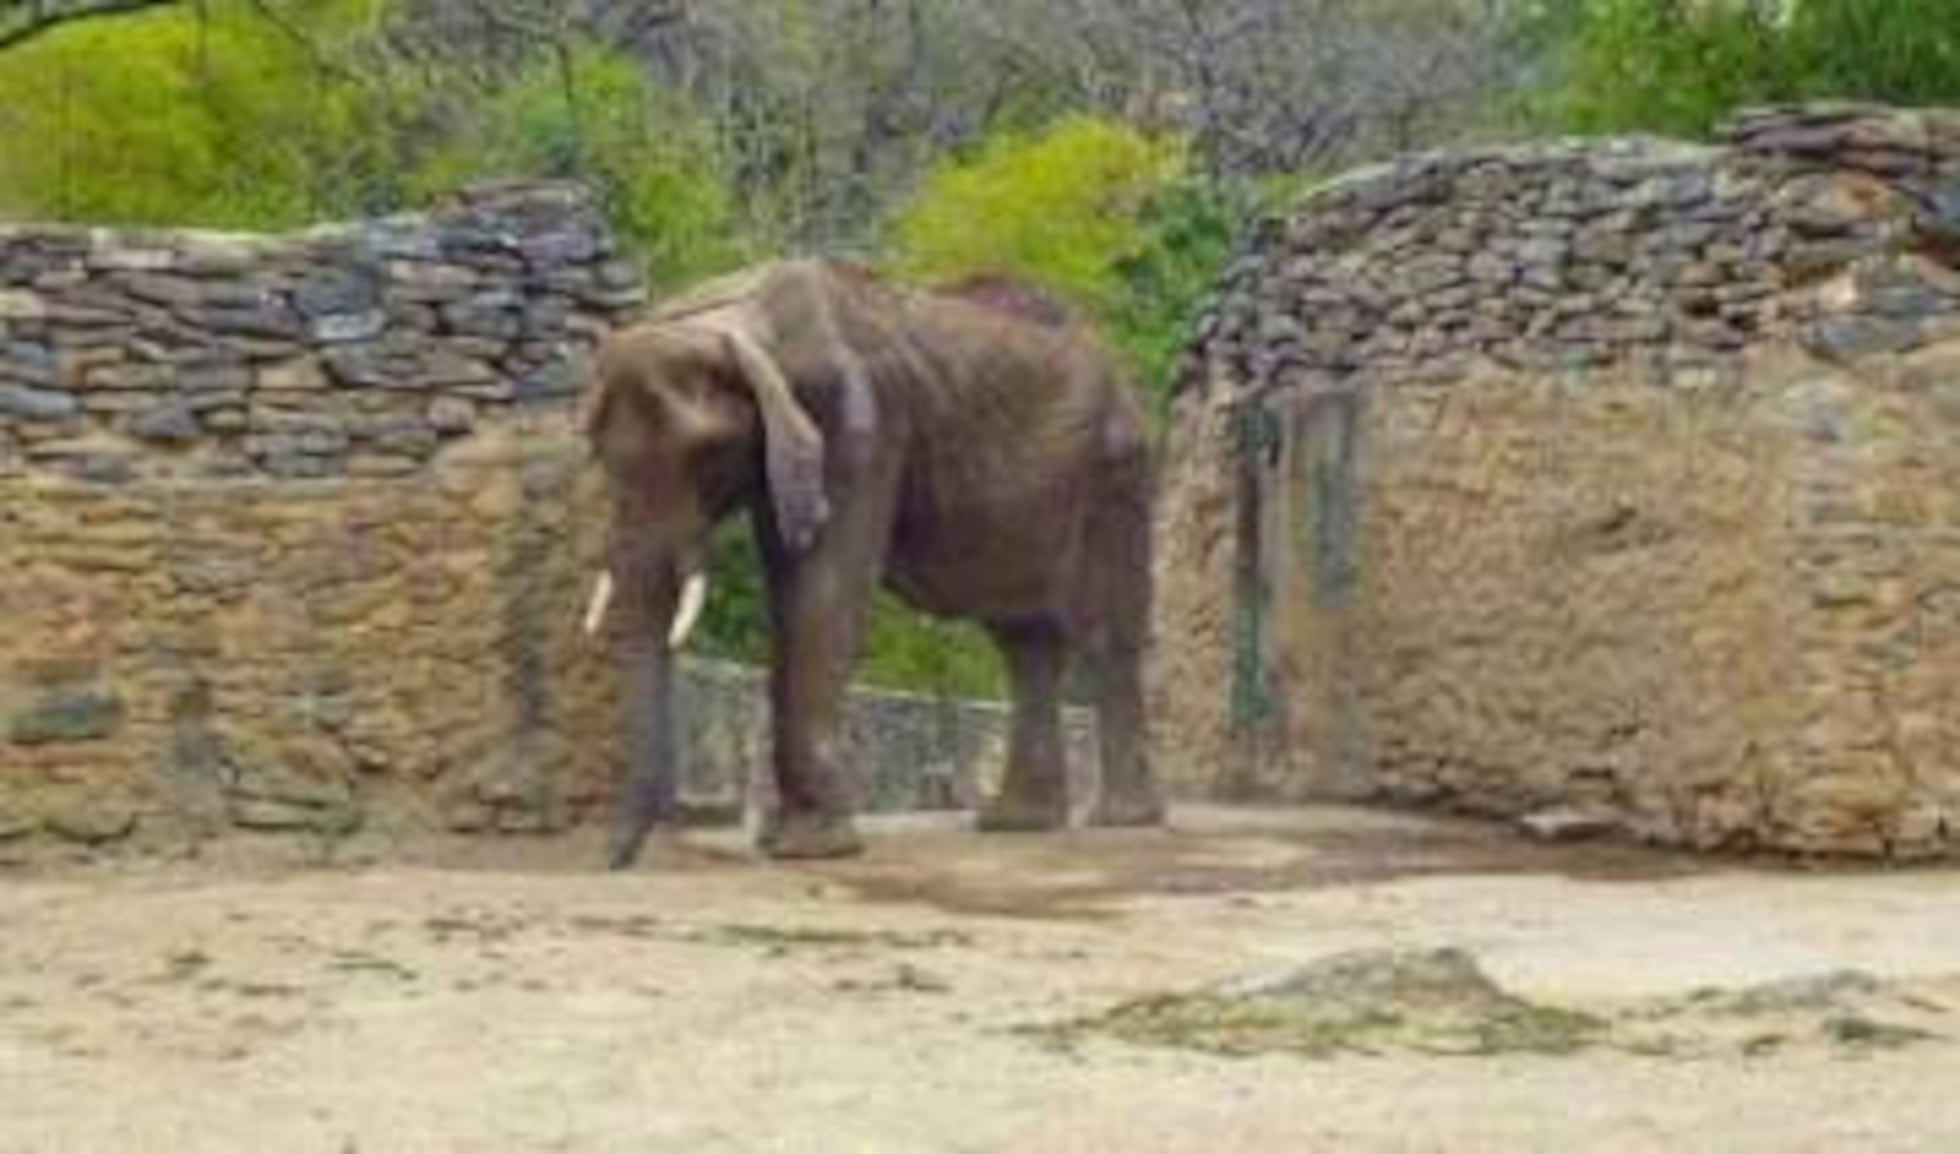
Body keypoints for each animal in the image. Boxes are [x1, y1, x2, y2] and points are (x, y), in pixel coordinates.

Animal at [581, 258, 1162, 868]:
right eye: (598, 452)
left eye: (706, 452)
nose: (612, 864)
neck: (737, 313)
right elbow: (787, 591)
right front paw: (783, 842)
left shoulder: (858, 428)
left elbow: (824, 592)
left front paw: (811, 850)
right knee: (1024, 641)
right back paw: (1018, 824)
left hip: (1115, 478)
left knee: (1104, 637)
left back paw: (1122, 820)